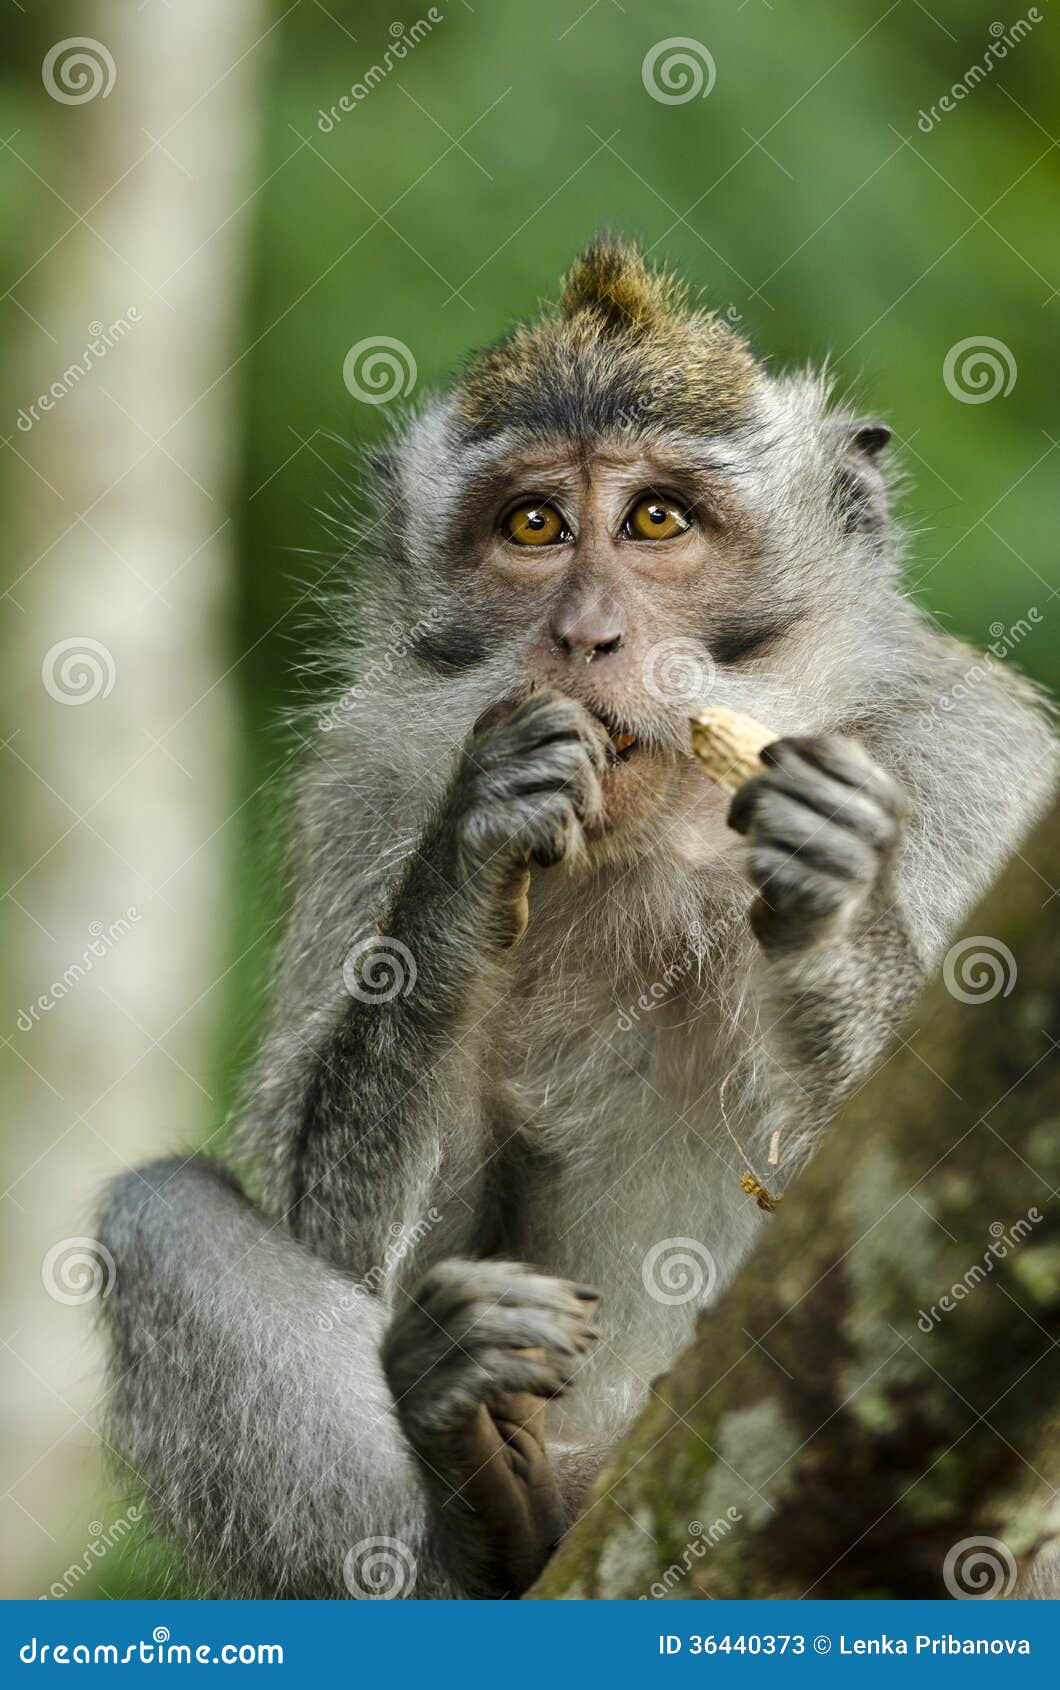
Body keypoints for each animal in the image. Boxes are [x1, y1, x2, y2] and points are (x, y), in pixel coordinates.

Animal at [96, 237, 1057, 1600]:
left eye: (657, 518)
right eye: (533, 525)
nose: (584, 634)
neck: (672, 844)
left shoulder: (975, 772)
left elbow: (946, 1225)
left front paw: (828, 897)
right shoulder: (365, 790)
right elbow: (345, 1242)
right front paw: (470, 857)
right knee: (160, 1218)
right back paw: (484, 1500)